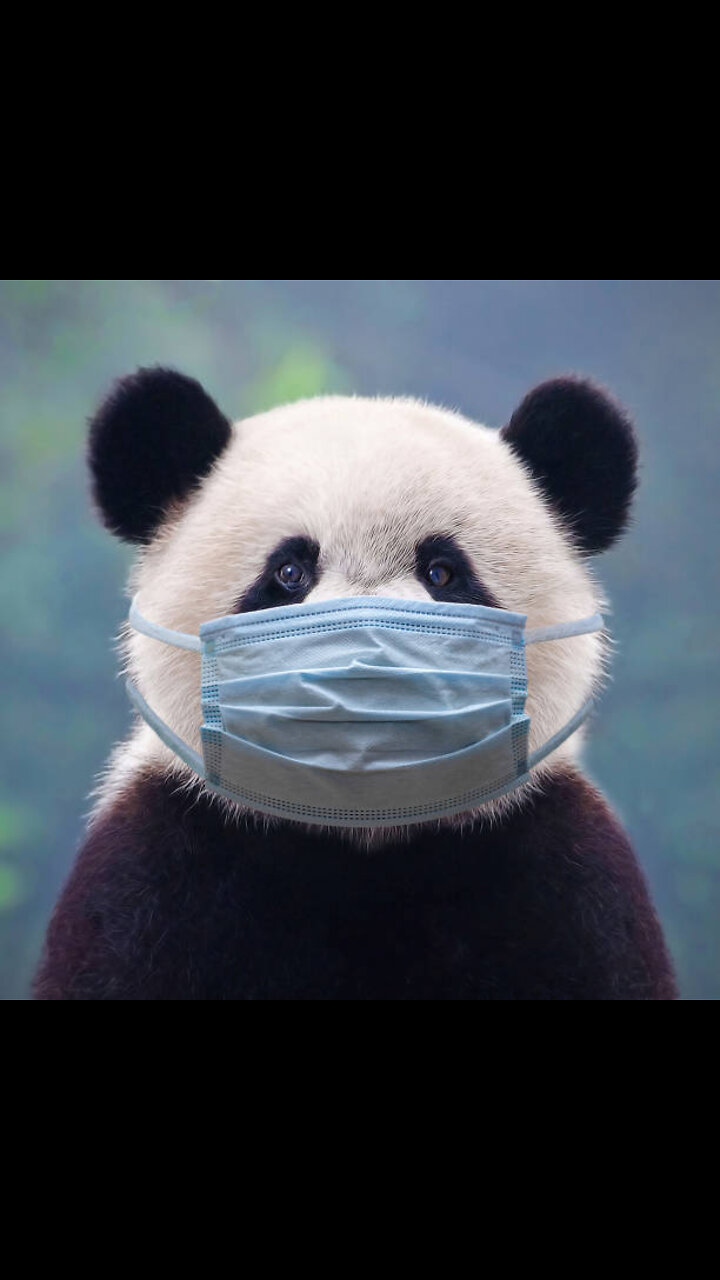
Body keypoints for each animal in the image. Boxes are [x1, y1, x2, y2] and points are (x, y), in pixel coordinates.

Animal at [34, 368, 677, 1000]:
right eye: (289, 571)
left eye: (443, 572)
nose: (368, 665)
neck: (362, 829)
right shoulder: (165, 859)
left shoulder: (552, 866)